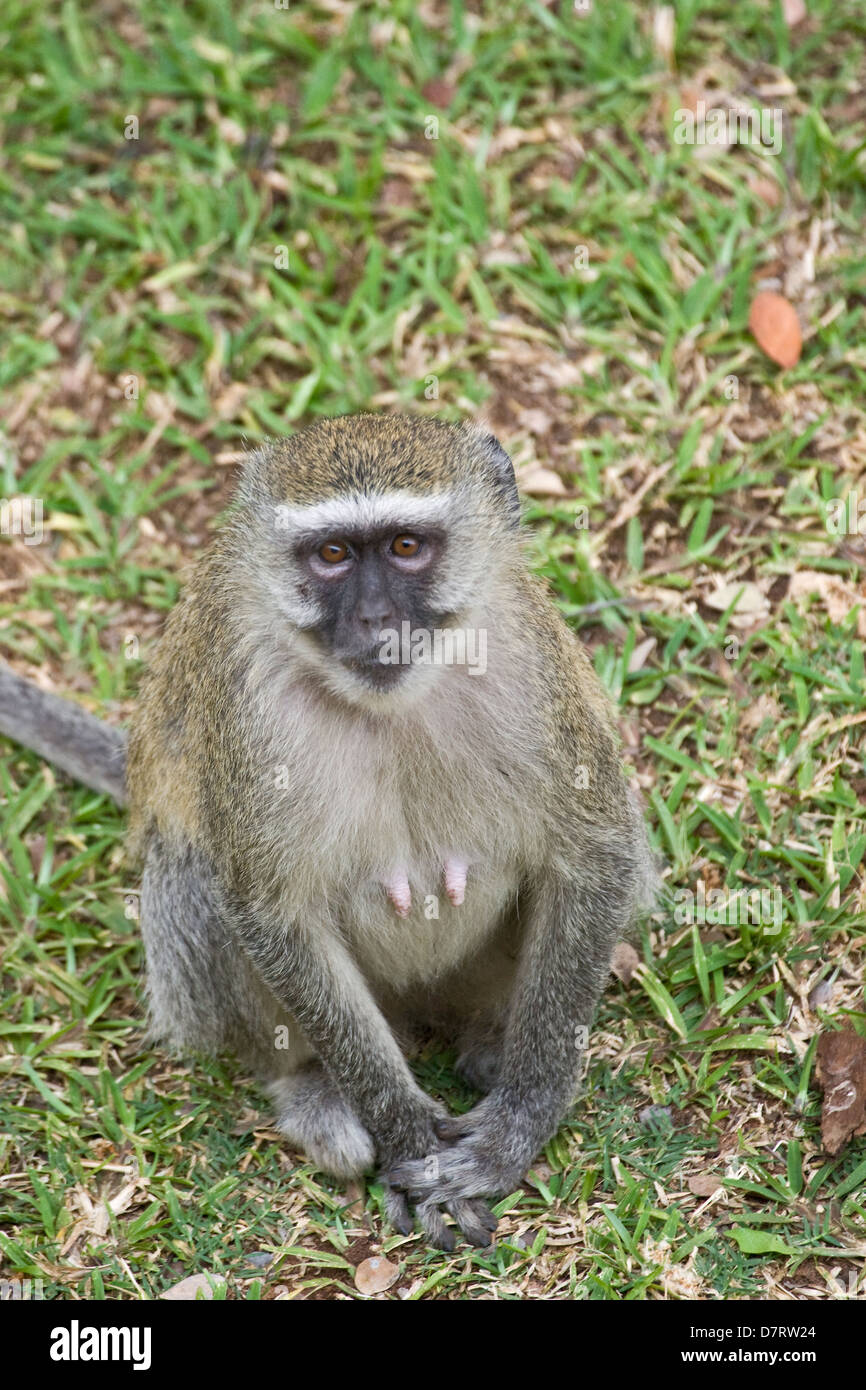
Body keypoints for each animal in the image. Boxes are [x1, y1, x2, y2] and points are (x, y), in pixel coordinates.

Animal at [0, 413, 657, 1250]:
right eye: (333, 555)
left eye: (406, 545)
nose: (374, 621)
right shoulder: (251, 720)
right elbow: (272, 913)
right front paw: (406, 1135)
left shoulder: (537, 673)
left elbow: (593, 857)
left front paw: (518, 1125)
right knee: (190, 871)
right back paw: (312, 1088)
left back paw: (490, 1042)